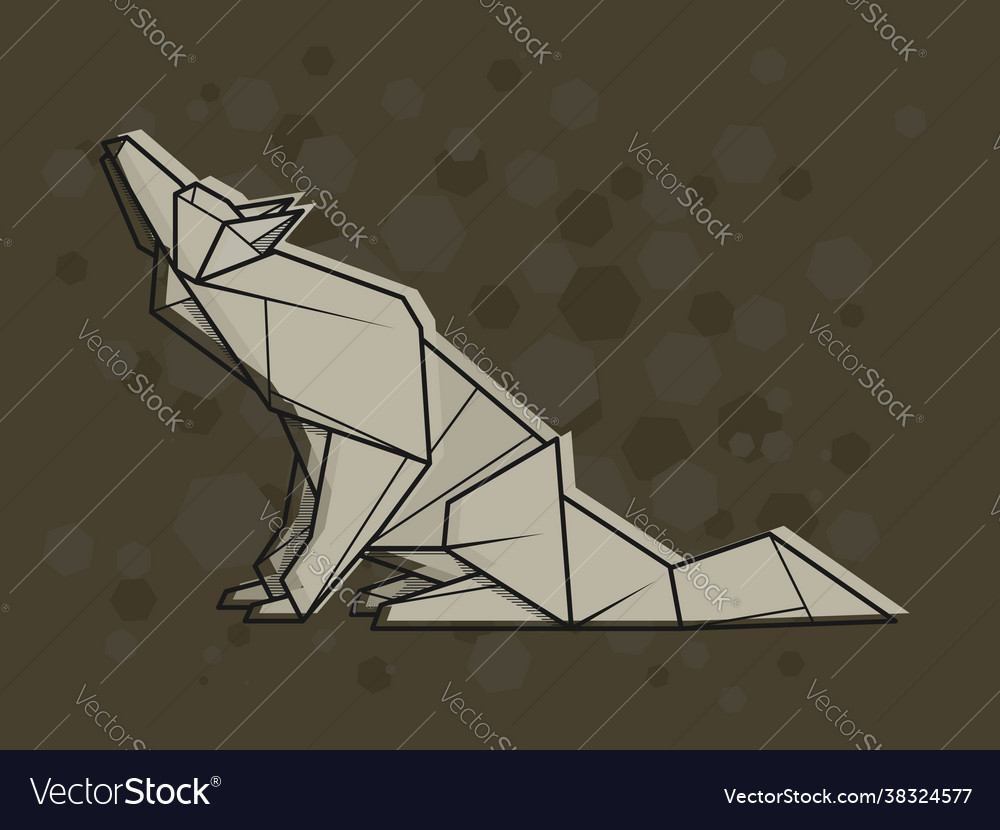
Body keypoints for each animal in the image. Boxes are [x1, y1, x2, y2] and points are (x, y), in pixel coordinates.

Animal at [100, 131, 905, 630]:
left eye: (193, 197)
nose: (119, 141)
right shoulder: (317, 442)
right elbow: (294, 532)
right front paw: (262, 585)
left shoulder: (382, 453)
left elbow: (324, 544)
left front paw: (288, 605)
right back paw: (395, 591)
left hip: (471, 521)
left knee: (544, 609)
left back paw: (419, 607)